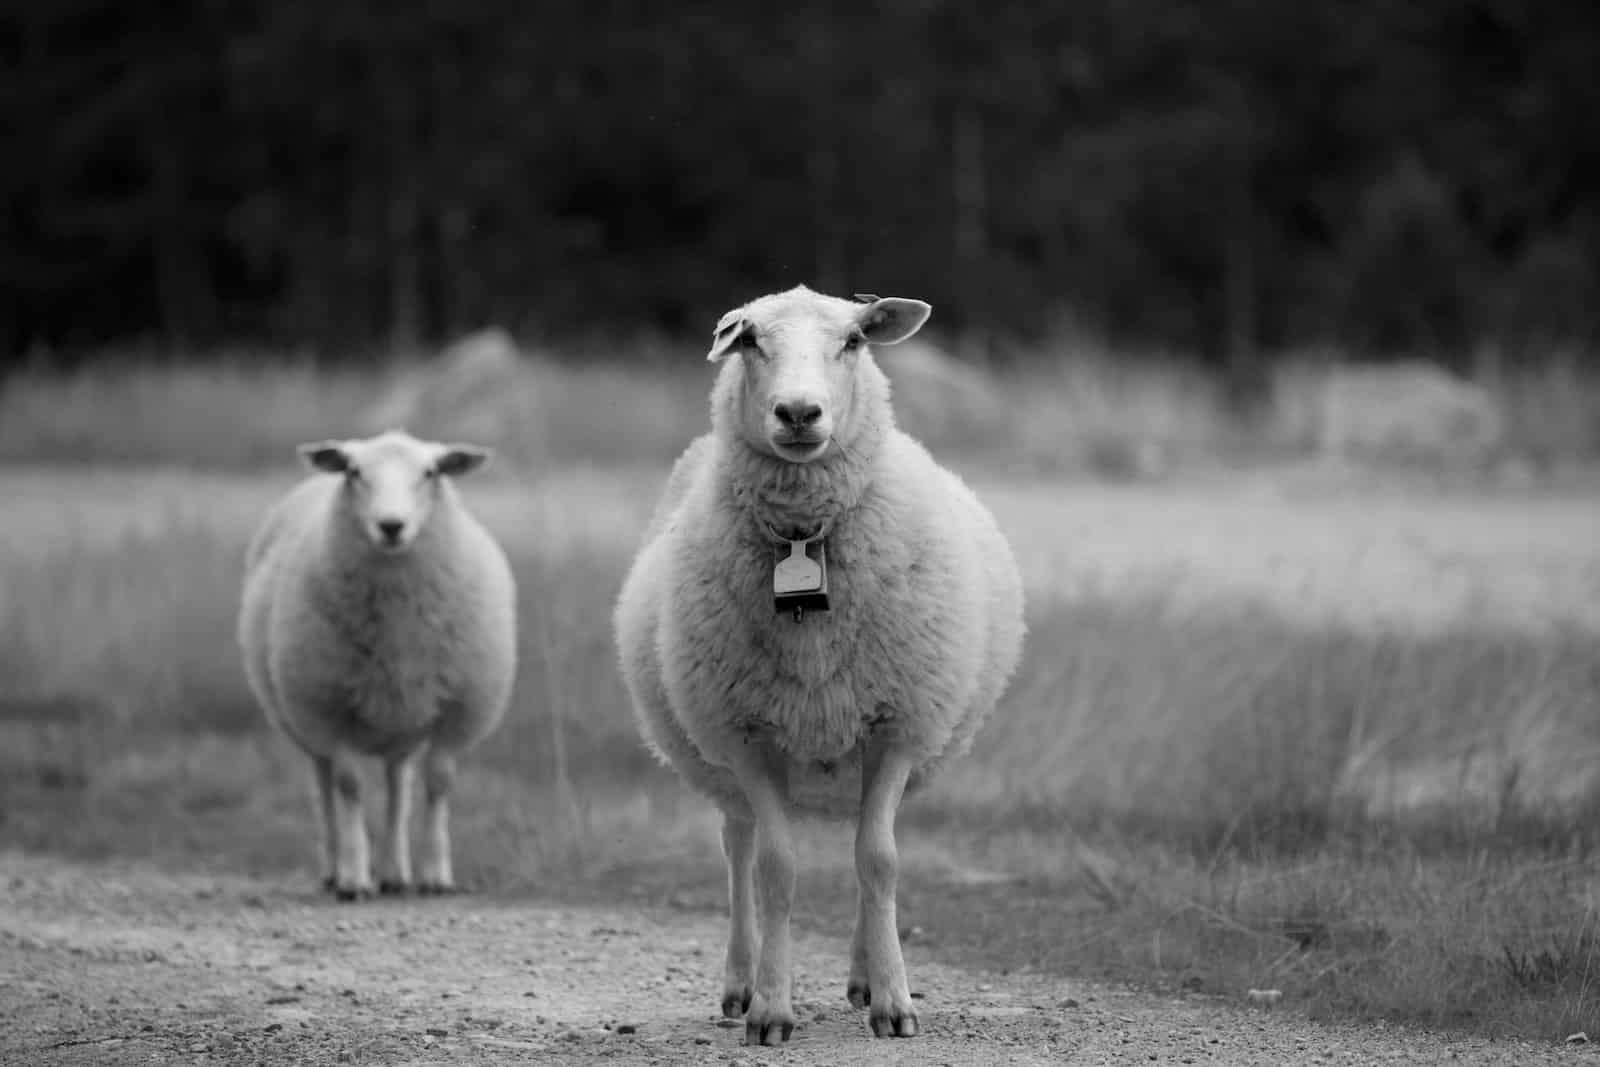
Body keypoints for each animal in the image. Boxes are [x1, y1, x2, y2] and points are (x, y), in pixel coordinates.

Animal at [237, 430, 517, 900]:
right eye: (354, 472)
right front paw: (354, 878)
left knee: (397, 785)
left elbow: (438, 782)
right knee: (325, 784)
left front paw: (436, 874)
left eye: (430, 472)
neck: (397, 624)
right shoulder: (329, 709)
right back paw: (335, 869)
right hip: (303, 719)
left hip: (401, 718)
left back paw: (394, 871)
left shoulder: (459, 708)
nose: (391, 526)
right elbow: (349, 785)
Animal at [613, 285, 1026, 1044]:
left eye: (854, 342)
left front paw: (894, 1001)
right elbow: (776, 868)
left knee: (866, 846)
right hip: (717, 758)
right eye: (750, 343)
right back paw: (741, 982)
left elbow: (879, 859)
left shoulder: (896, 728)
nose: (800, 413)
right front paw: (772, 1009)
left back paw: (863, 977)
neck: (806, 539)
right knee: (738, 848)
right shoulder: (749, 736)